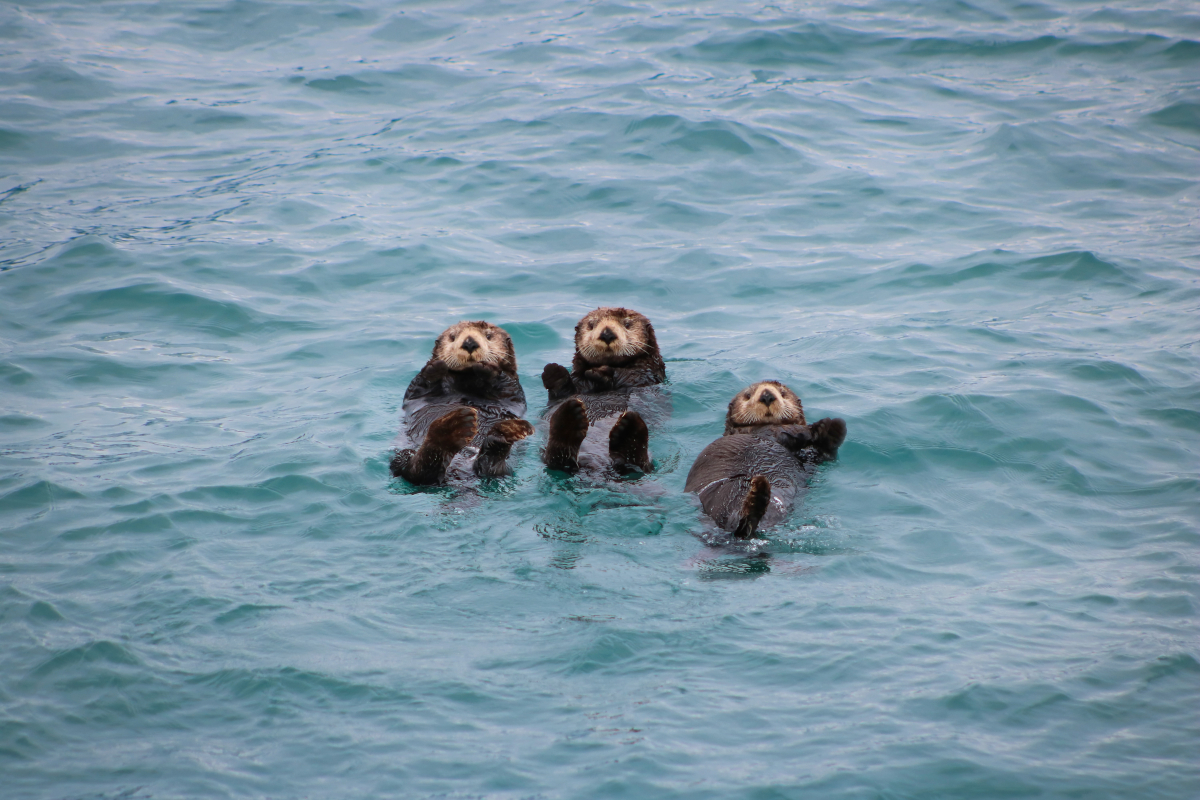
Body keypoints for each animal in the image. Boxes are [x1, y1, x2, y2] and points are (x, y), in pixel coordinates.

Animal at [390, 321, 534, 485]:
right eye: (453, 337)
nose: (469, 343)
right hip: (402, 455)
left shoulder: (513, 389)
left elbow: (506, 384)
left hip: (505, 469)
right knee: (415, 471)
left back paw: (501, 435)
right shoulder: (416, 391)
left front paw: (487, 368)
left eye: (488, 336)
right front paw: (435, 366)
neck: (467, 380)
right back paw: (452, 428)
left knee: (490, 468)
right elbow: (419, 386)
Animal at [540, 307, 667, 474]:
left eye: (627, 324)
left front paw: (600, 373)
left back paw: (629, 430)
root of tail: (595, 464)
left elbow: (628, 376)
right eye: (591, 325)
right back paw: (569, 418)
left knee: (639, 465)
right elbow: (563, 392)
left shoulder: (645, 375)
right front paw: (554, 372)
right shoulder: (575, 386)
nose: (607, 333)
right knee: (557, 459)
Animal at [685, 381, 846, 539]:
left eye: (783, 393)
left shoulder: (810, 459)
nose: (767, 395)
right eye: (748, 395)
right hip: (723, 495)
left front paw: (831, 430)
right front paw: (821, 427)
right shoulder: (765, 431)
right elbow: (788, 431)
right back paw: (756, 497)